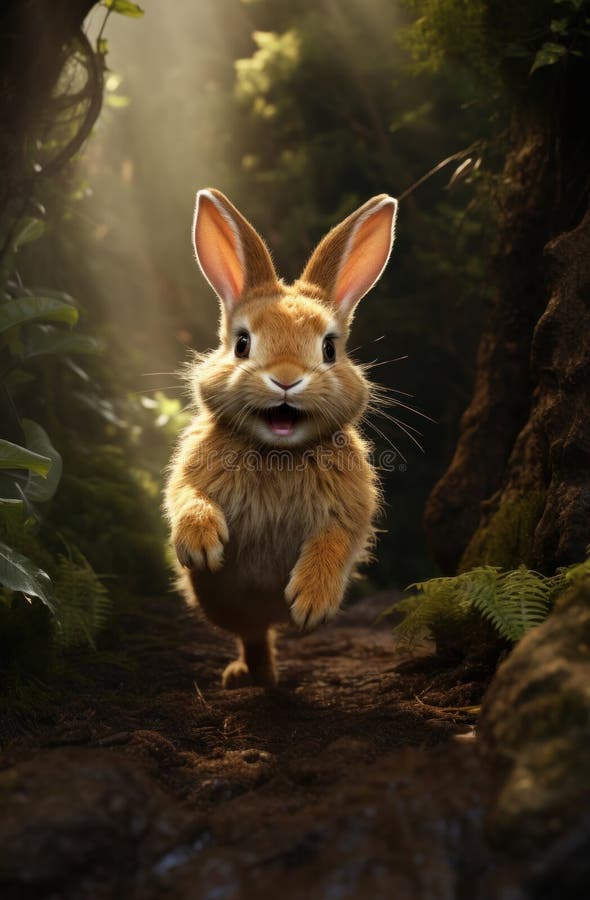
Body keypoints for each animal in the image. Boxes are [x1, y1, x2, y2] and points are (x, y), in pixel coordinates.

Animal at [164, 188, 398, 688]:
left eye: (329, 348)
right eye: (242, 344)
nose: (287, 379)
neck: (278, 450)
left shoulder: (349, 507)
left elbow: (337, 538)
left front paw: (311, 601)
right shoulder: (191, 474)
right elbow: (187, 496)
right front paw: (200, 544)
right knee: (252, 633)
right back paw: (249, 675)